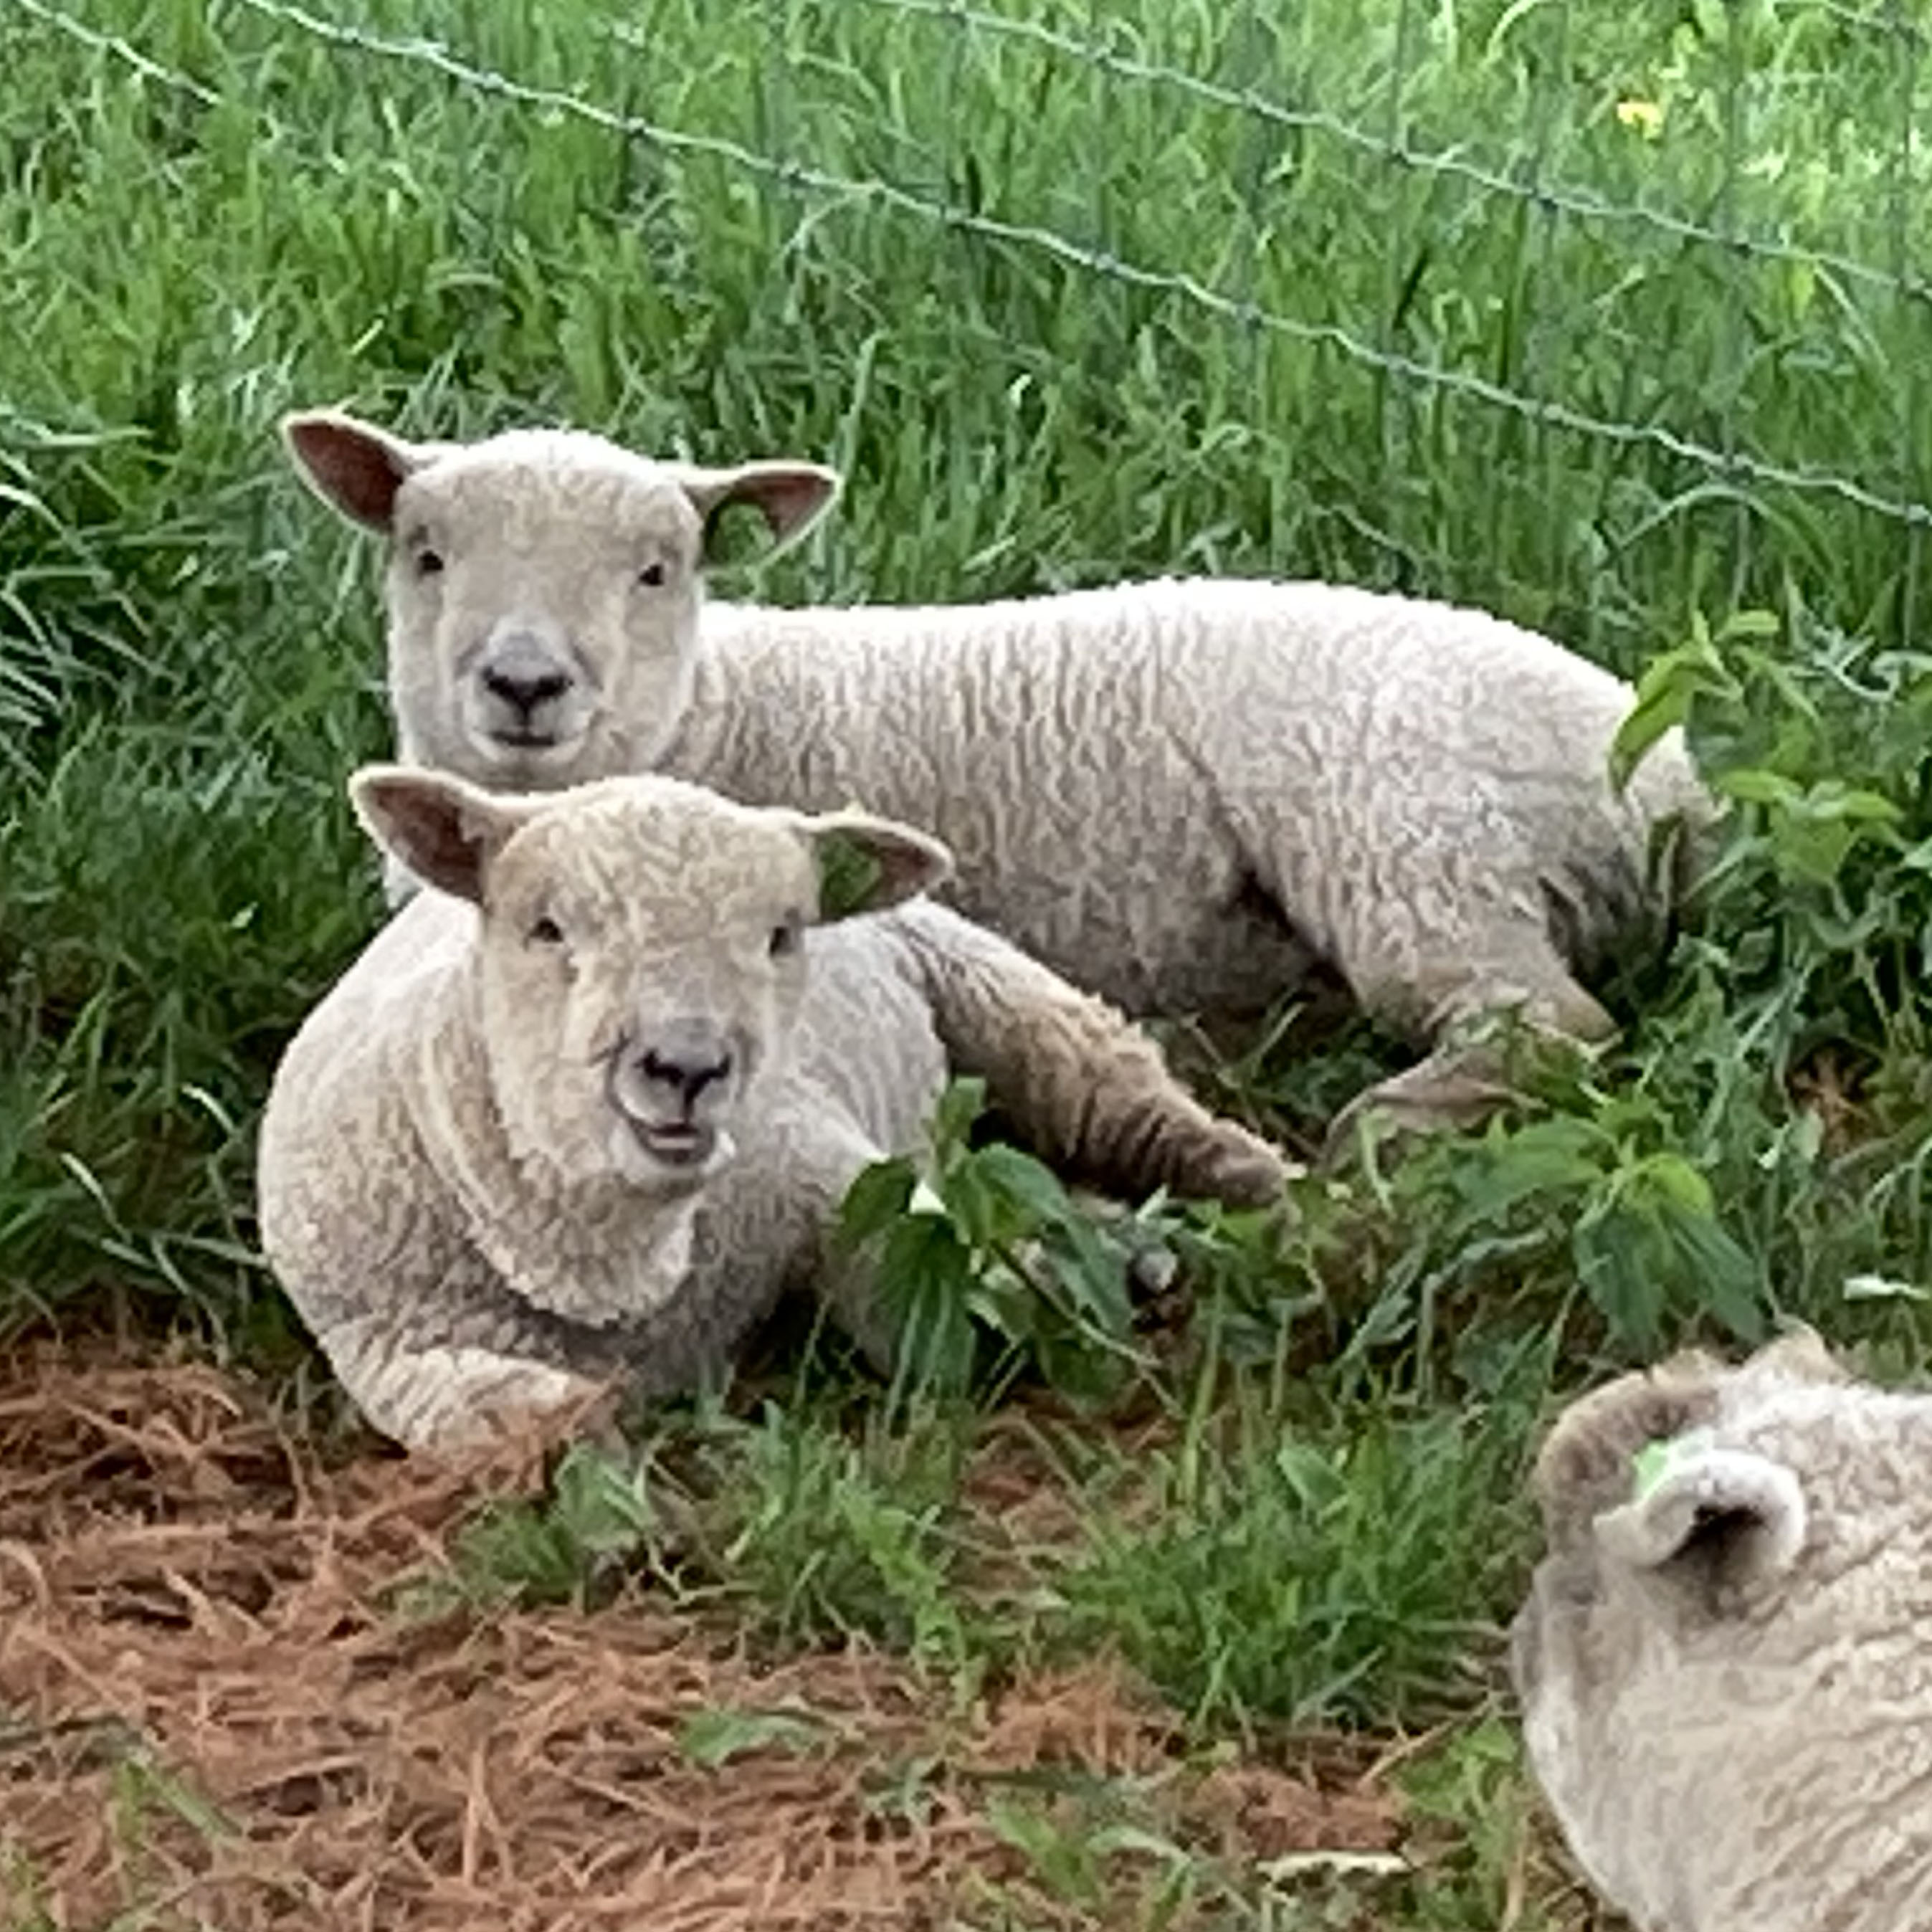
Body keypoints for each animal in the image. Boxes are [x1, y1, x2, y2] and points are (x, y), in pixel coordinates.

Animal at [256, 763, 1290, 1452]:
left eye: (781, 934)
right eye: (544, 927)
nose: (685, 1064)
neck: (613, 1268)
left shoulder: (832, 1172)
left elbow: (941, 1312)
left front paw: (1038, 1299)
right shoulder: (386, 1336)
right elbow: (512, 1423)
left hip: (1006, 994)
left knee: (1138, 1114)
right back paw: (1132, 1245)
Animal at [280, 409, 1718, 1155]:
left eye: (657, 567)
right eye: (424, 553)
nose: (525, 683)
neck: (716, 706)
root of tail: (1670, 784)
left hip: (1409, 833)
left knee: (1549, 1023)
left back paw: (1384, 1124)